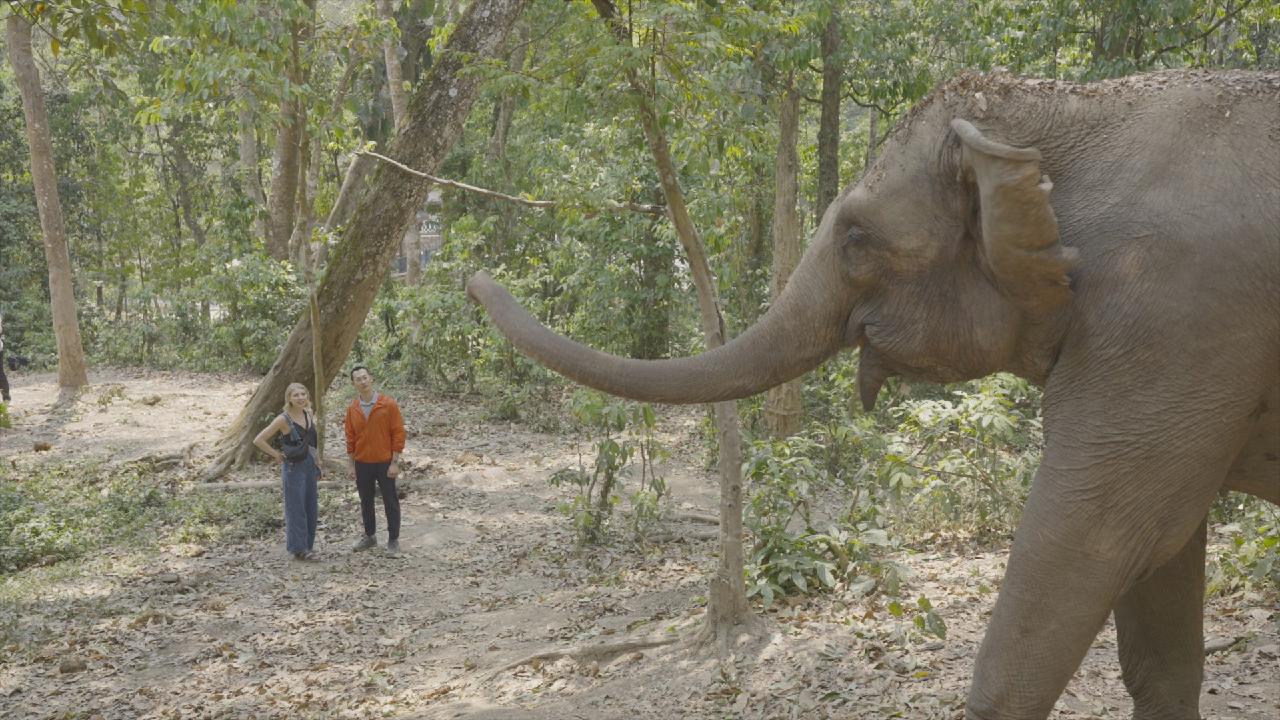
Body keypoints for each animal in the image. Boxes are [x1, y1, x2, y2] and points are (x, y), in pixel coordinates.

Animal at [466, 70, 1280, 719]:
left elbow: (1105, 536)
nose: (472, 276)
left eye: (856, 237)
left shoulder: (1171, 320)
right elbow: (1163, 577)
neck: (1076, 105)